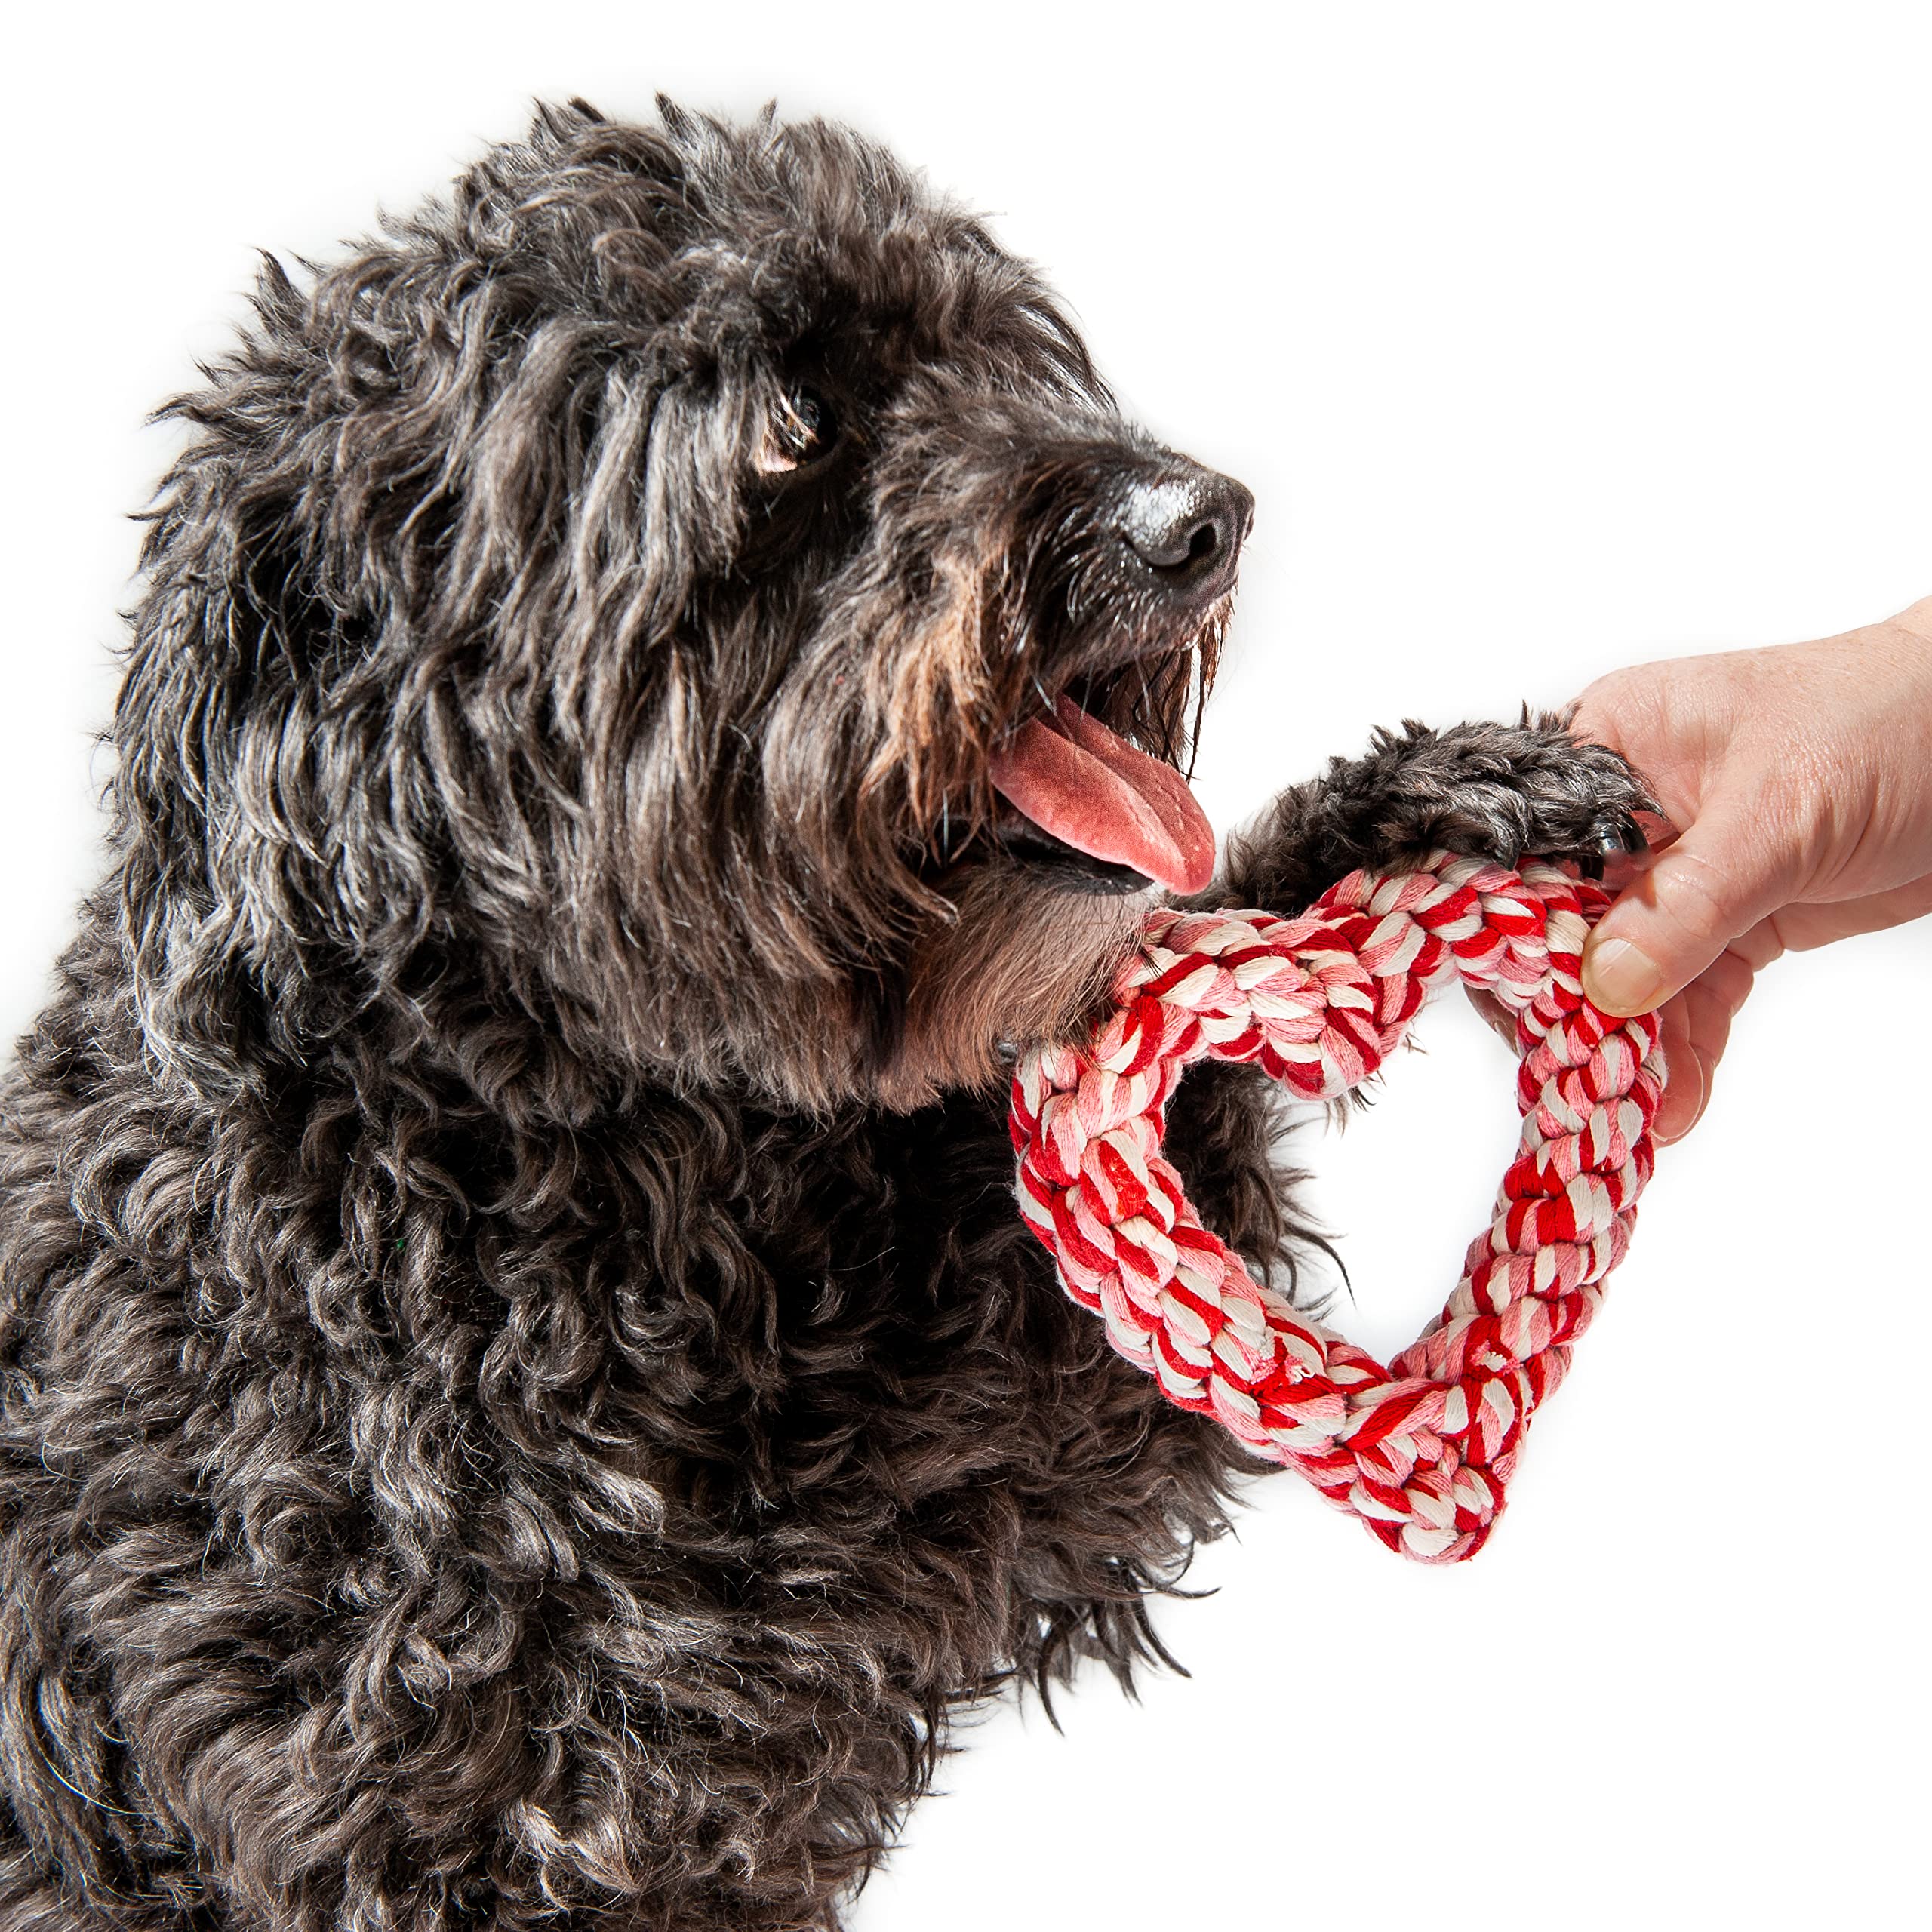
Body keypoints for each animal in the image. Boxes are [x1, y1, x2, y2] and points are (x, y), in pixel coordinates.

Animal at [4, 102, 1646, 1932]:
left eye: (991, 349)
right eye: (789, 434)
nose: (1199, 517)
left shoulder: (960, 1465)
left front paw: (1426, 801)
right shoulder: (466, 1811)